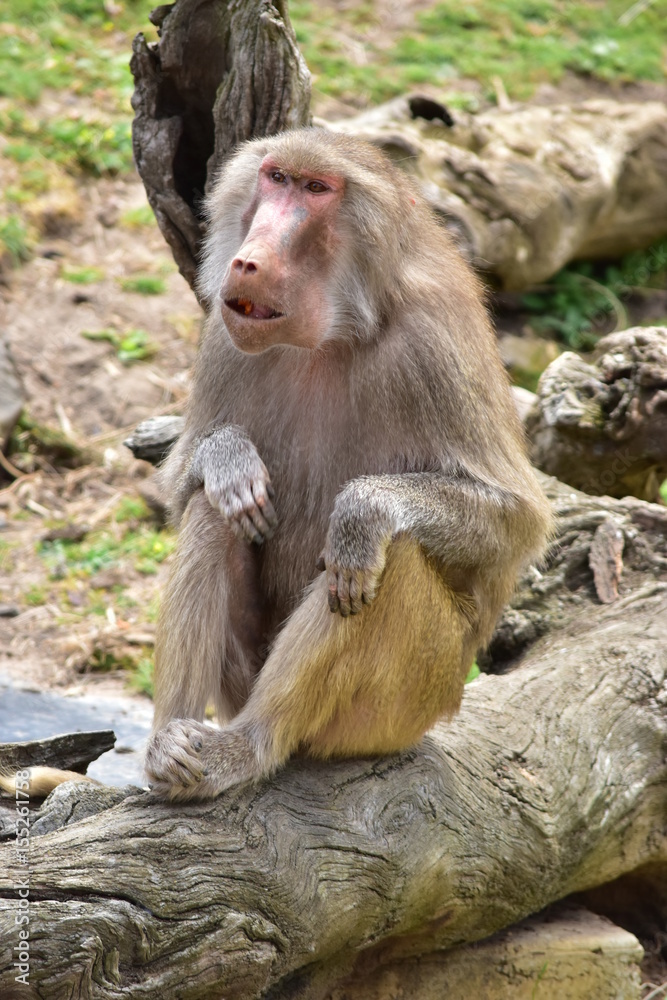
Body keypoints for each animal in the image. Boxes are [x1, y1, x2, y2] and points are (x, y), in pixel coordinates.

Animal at [144, 127, 552, 801]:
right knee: (213, 511)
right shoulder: (222, 336)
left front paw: (362, 512)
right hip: (241, 677)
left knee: (391, 557)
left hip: (407, 705)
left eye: (317, 189)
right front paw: (228, 459)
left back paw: (250, 745)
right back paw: (171, 746)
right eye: (275, 178)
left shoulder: (435, 344)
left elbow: (518, 521)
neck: (337, 329)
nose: (248, 262)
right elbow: (185, 481)